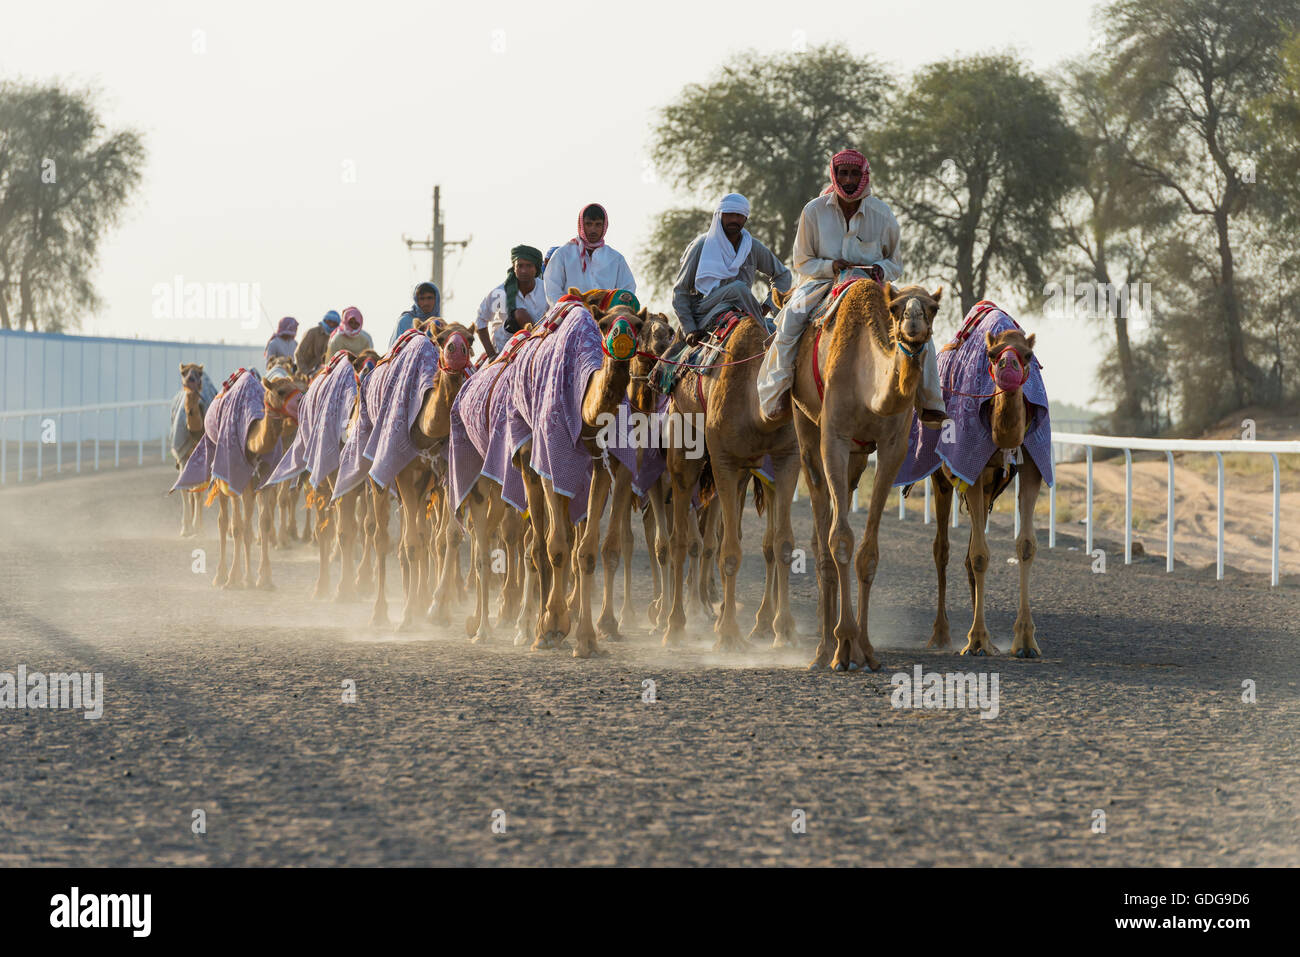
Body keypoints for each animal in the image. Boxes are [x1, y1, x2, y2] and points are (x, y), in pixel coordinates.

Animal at [783, 280, 942, 671]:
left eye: (933, 308)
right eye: (897, 308)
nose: (913, 325)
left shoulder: (891, 447)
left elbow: (868, 551)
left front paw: (865, 650)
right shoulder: (835, 438)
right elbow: (840, 540)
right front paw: (842, 646)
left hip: (856, 457)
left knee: (824, 530)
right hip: (805, 426)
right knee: (822, 526)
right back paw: (823, 649)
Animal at [924, 324, 1046, 658]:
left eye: (1028, 355)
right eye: (991, 354)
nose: (1008, 367)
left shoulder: (1031, 468)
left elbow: (1025, 546)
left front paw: (1025, 642)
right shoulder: (972, 470)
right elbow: (980, 555)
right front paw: (976, 641)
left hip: (992, 487)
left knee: (968, 553)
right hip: (942, 478)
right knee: (942, 549)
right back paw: (941, 635)